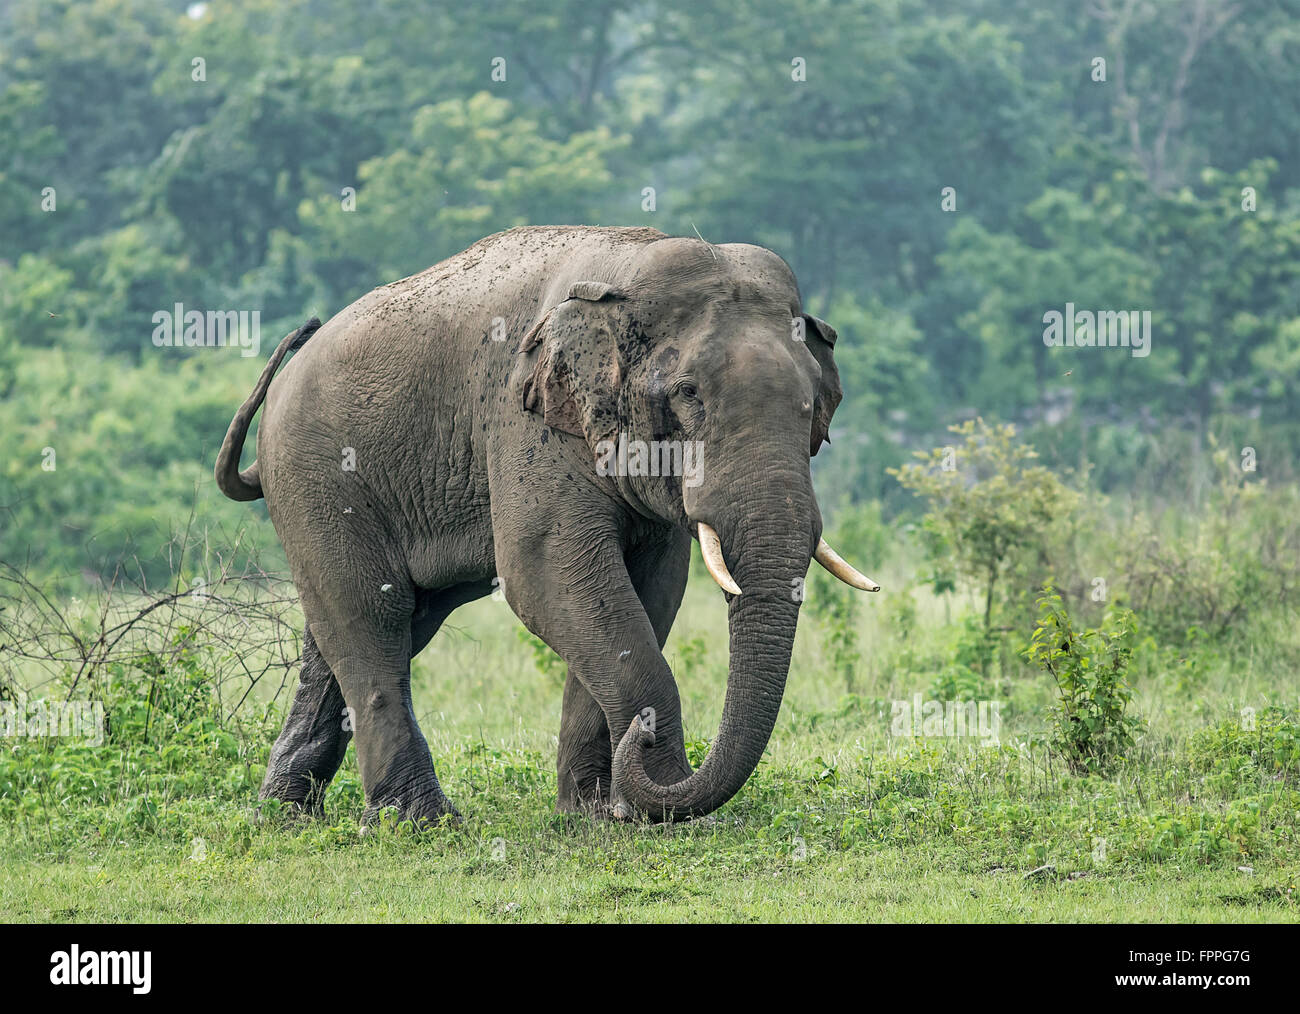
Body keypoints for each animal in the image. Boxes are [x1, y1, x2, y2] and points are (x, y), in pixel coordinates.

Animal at [216, 225, 877, 825]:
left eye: (812, 404)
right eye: (688, 393)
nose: (643, 742)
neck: (627, 263)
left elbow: (650, 591)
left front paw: (596, 813)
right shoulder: (527, 421)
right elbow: (547, 576)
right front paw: (638, 801)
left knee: (374, 625)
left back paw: (284, 815)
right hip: (316, 475)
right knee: (373, 615)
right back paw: (418, 821)